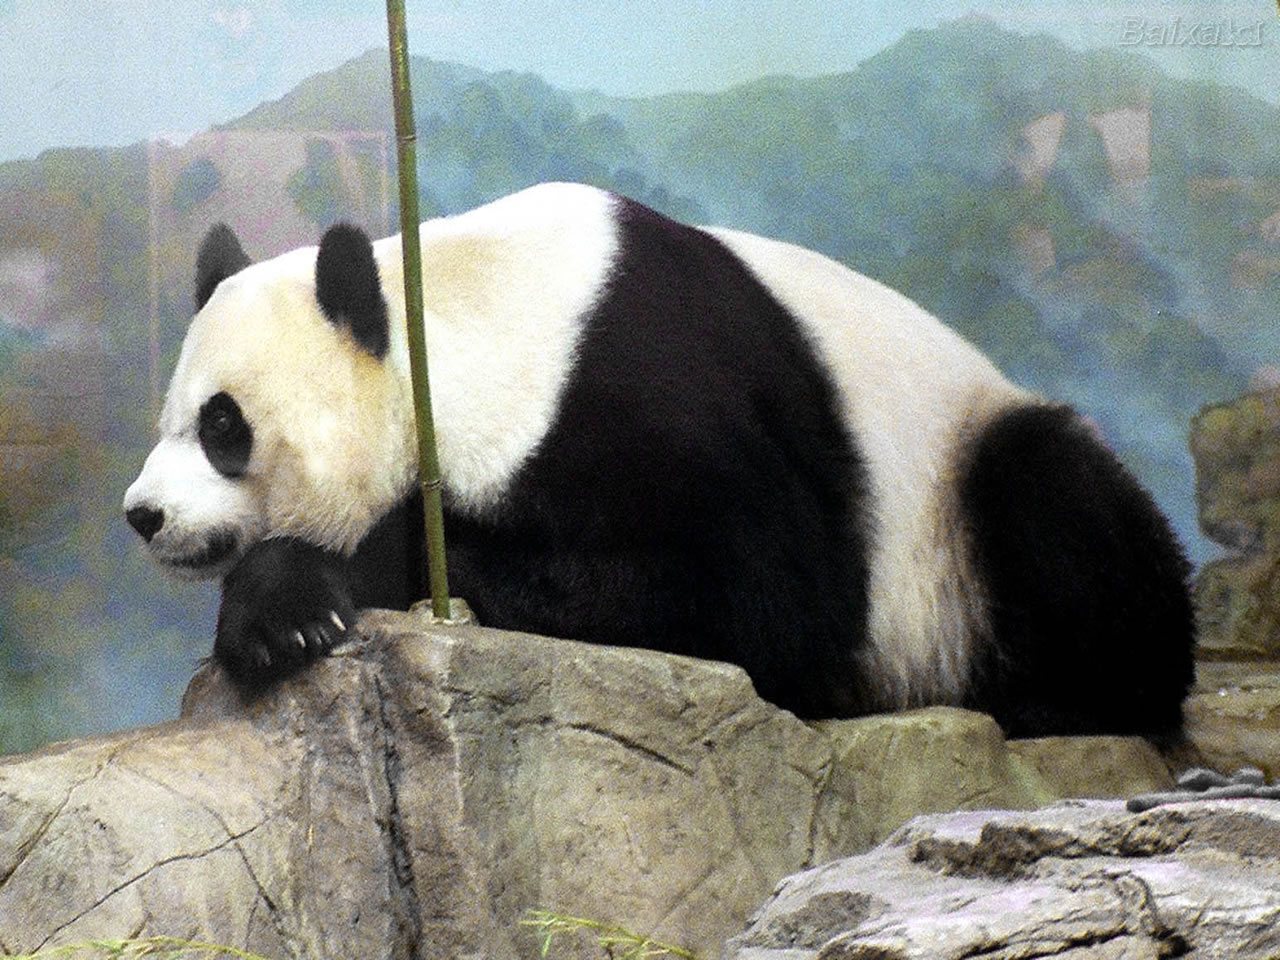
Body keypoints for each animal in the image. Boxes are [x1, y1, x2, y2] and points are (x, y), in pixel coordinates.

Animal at [123, 181, 1195, 740]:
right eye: (169, 417)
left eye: (223, 427)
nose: (142, 515)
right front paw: (278, 616)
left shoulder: (654, 393)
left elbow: (761, 599)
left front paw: (303, 597)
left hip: (955, 487)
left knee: (1050, 496)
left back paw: (1058, 698)